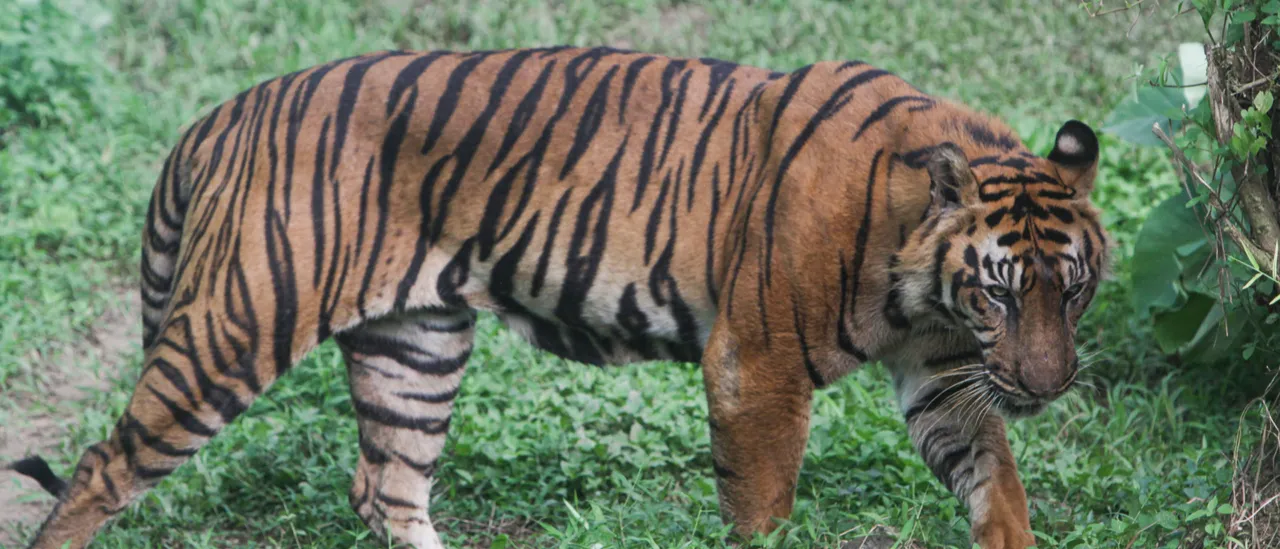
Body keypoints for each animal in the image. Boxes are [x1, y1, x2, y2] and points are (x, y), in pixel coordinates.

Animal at [9, 46, 1108, 549]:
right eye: (998, 295)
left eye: (1075, 292)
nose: (1046, 387)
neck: (924, 286)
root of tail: (222, 113)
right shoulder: (755, 370)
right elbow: (762, 511)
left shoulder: (944, 378)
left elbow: (996, 484)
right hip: (234, 328)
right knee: (102, 467)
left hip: (414, 342)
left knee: (386, 484)